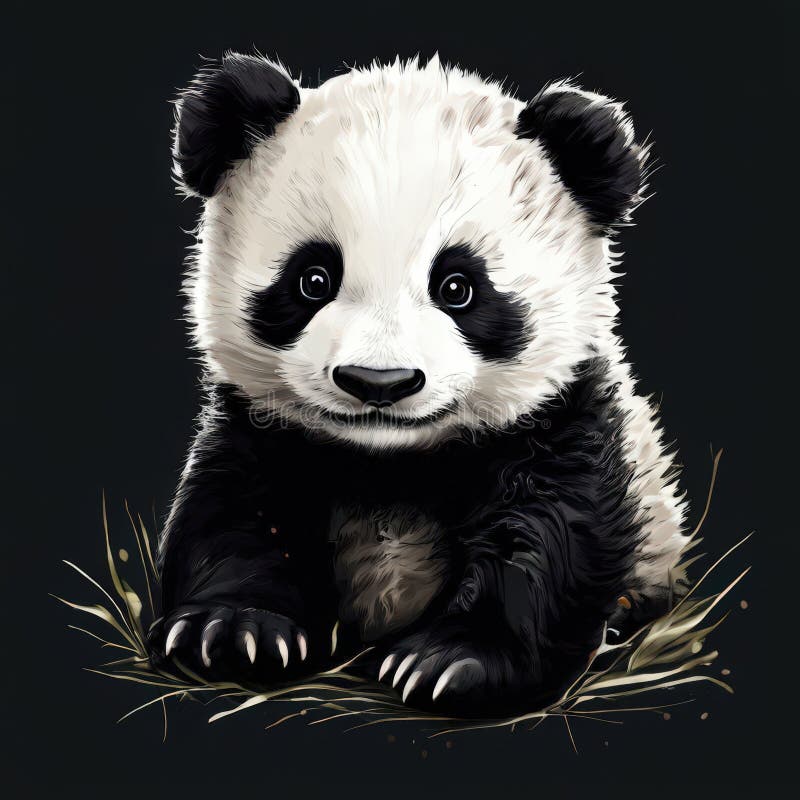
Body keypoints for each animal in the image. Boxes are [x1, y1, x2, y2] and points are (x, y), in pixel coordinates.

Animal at [150, 53, 688, 717]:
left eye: (457, 286)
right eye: (312, 279)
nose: (378, 381)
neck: (393, 465)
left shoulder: (565, 417)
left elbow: (551, 530)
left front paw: (454, 661)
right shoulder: (262, 427)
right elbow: (233, 510)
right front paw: (232, 630)